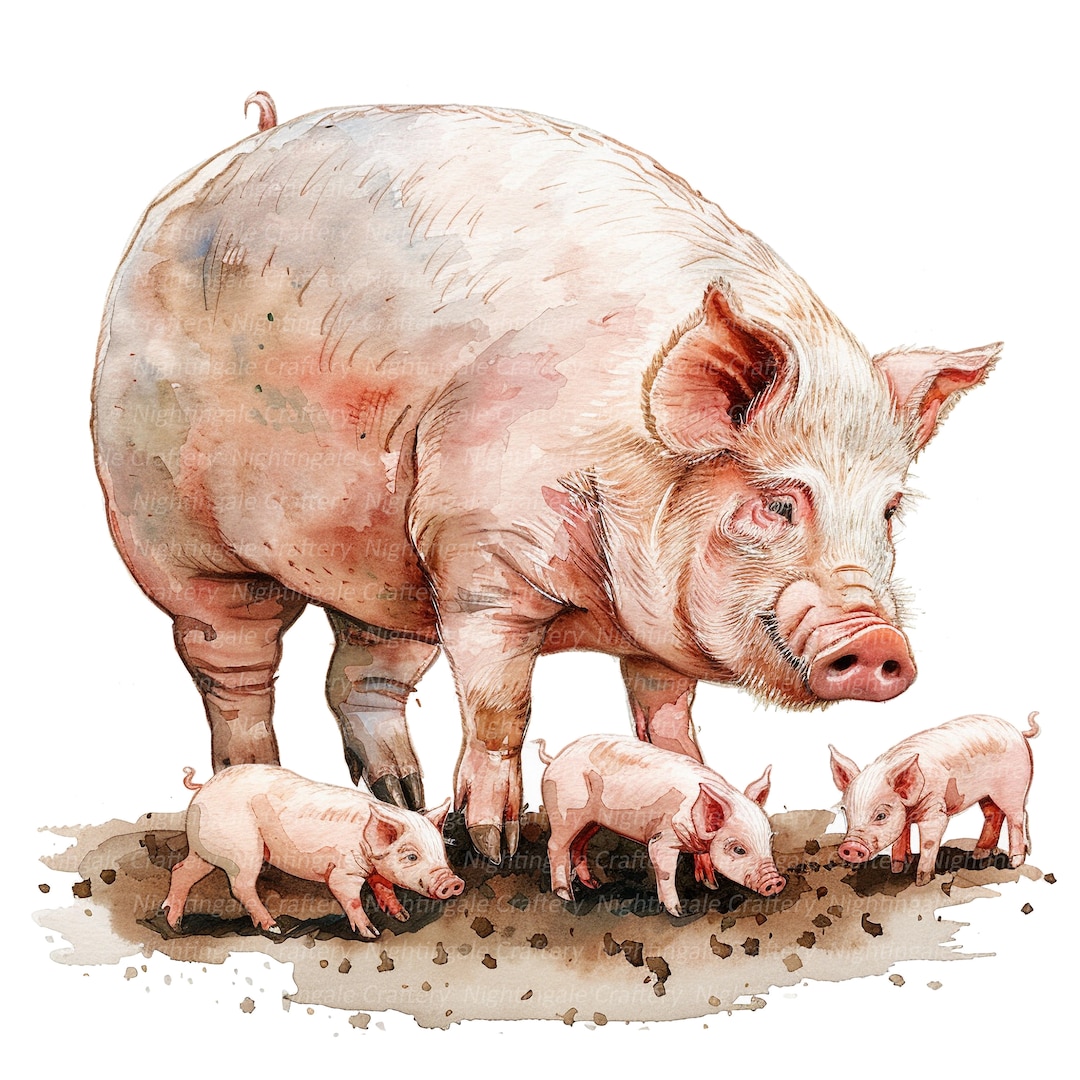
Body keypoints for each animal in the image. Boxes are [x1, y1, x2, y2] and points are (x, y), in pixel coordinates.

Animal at [92, 97, 999, 862]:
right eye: (776, 503)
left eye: (889, 510)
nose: (878, 643)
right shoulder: (481, 562)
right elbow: (502, 707)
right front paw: (491, 849)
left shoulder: (631, 626)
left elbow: (667, 714)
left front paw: (694, 788)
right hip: (171, 531)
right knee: (233, 665)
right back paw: (267, 779)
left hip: (390, 571)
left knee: (362, 674)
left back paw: (401, 797)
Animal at [161, 765, 464, 938]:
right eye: (411, 856)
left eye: (441, 852)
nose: (453, 882)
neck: (367, 846)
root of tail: (203, 789)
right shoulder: (344, 871)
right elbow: (350, 897)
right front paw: (371, 933)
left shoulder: (375, 870)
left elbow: (384, 887)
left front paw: (402, 916)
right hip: (244, 848)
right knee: (241, 886)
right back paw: (273, 927)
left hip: (206, 849)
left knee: (181, 869)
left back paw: (174, 922)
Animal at [538, 735, 786, 915]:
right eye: (739, 849)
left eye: (770, 840)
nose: (776, 881)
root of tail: (554, 759)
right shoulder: (662, 839)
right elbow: (666, 871)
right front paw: (678, 912)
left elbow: (704, 858)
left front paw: (711, 885)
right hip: (565, 812)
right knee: (555, 846)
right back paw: (566, 896)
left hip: (591, 822)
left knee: (578, 845)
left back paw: (594, 885)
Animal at [829, 712, 1039, 886]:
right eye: (845, 811)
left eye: (881, 815)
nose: (850, 846)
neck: (911, 809)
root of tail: (1019, 733)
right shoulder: (904, 816)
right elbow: (901, 835)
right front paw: (898, 868)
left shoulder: (936, 811)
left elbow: (929, 842)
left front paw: (922, 881)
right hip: (987, 795)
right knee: (994, 814)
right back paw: (979, 854)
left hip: (1013, 787)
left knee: (1017, 817)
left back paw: (1015, 862)